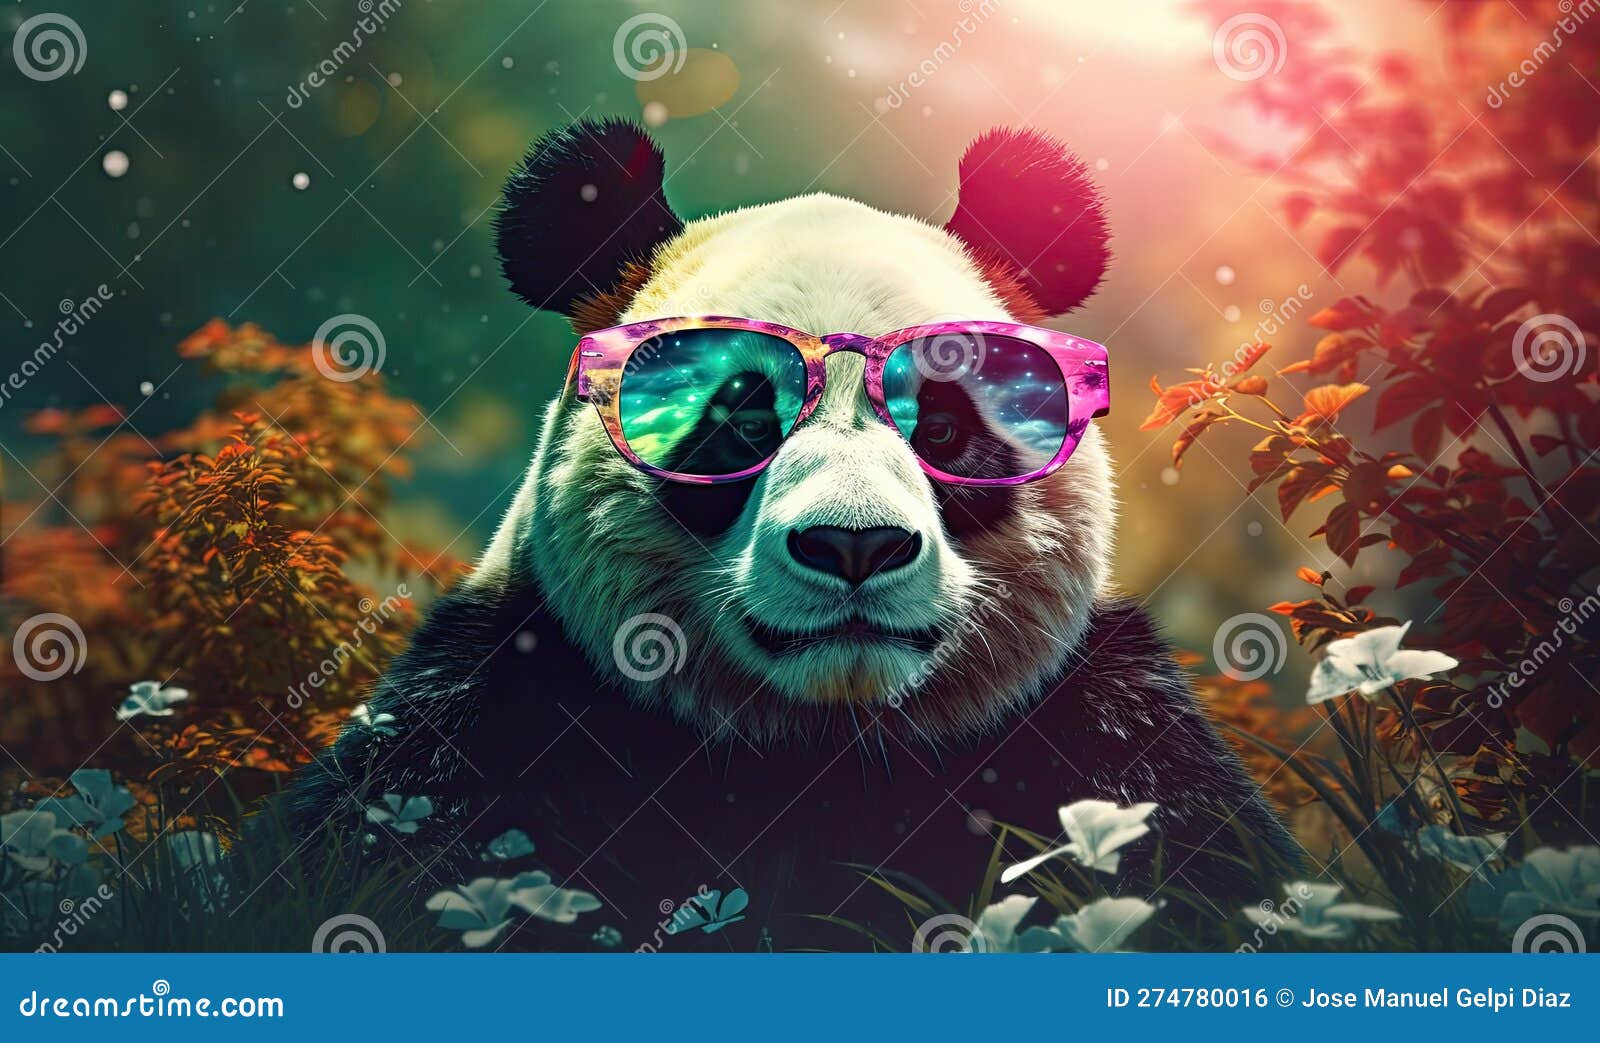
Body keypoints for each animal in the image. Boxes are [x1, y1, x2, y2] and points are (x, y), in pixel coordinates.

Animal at [290, 118, 1298, 950]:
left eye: (942, 428)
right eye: (741, 422)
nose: (855, 547)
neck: (819, 747)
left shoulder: (1098, 733)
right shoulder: (503, 706)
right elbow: (375, 855)